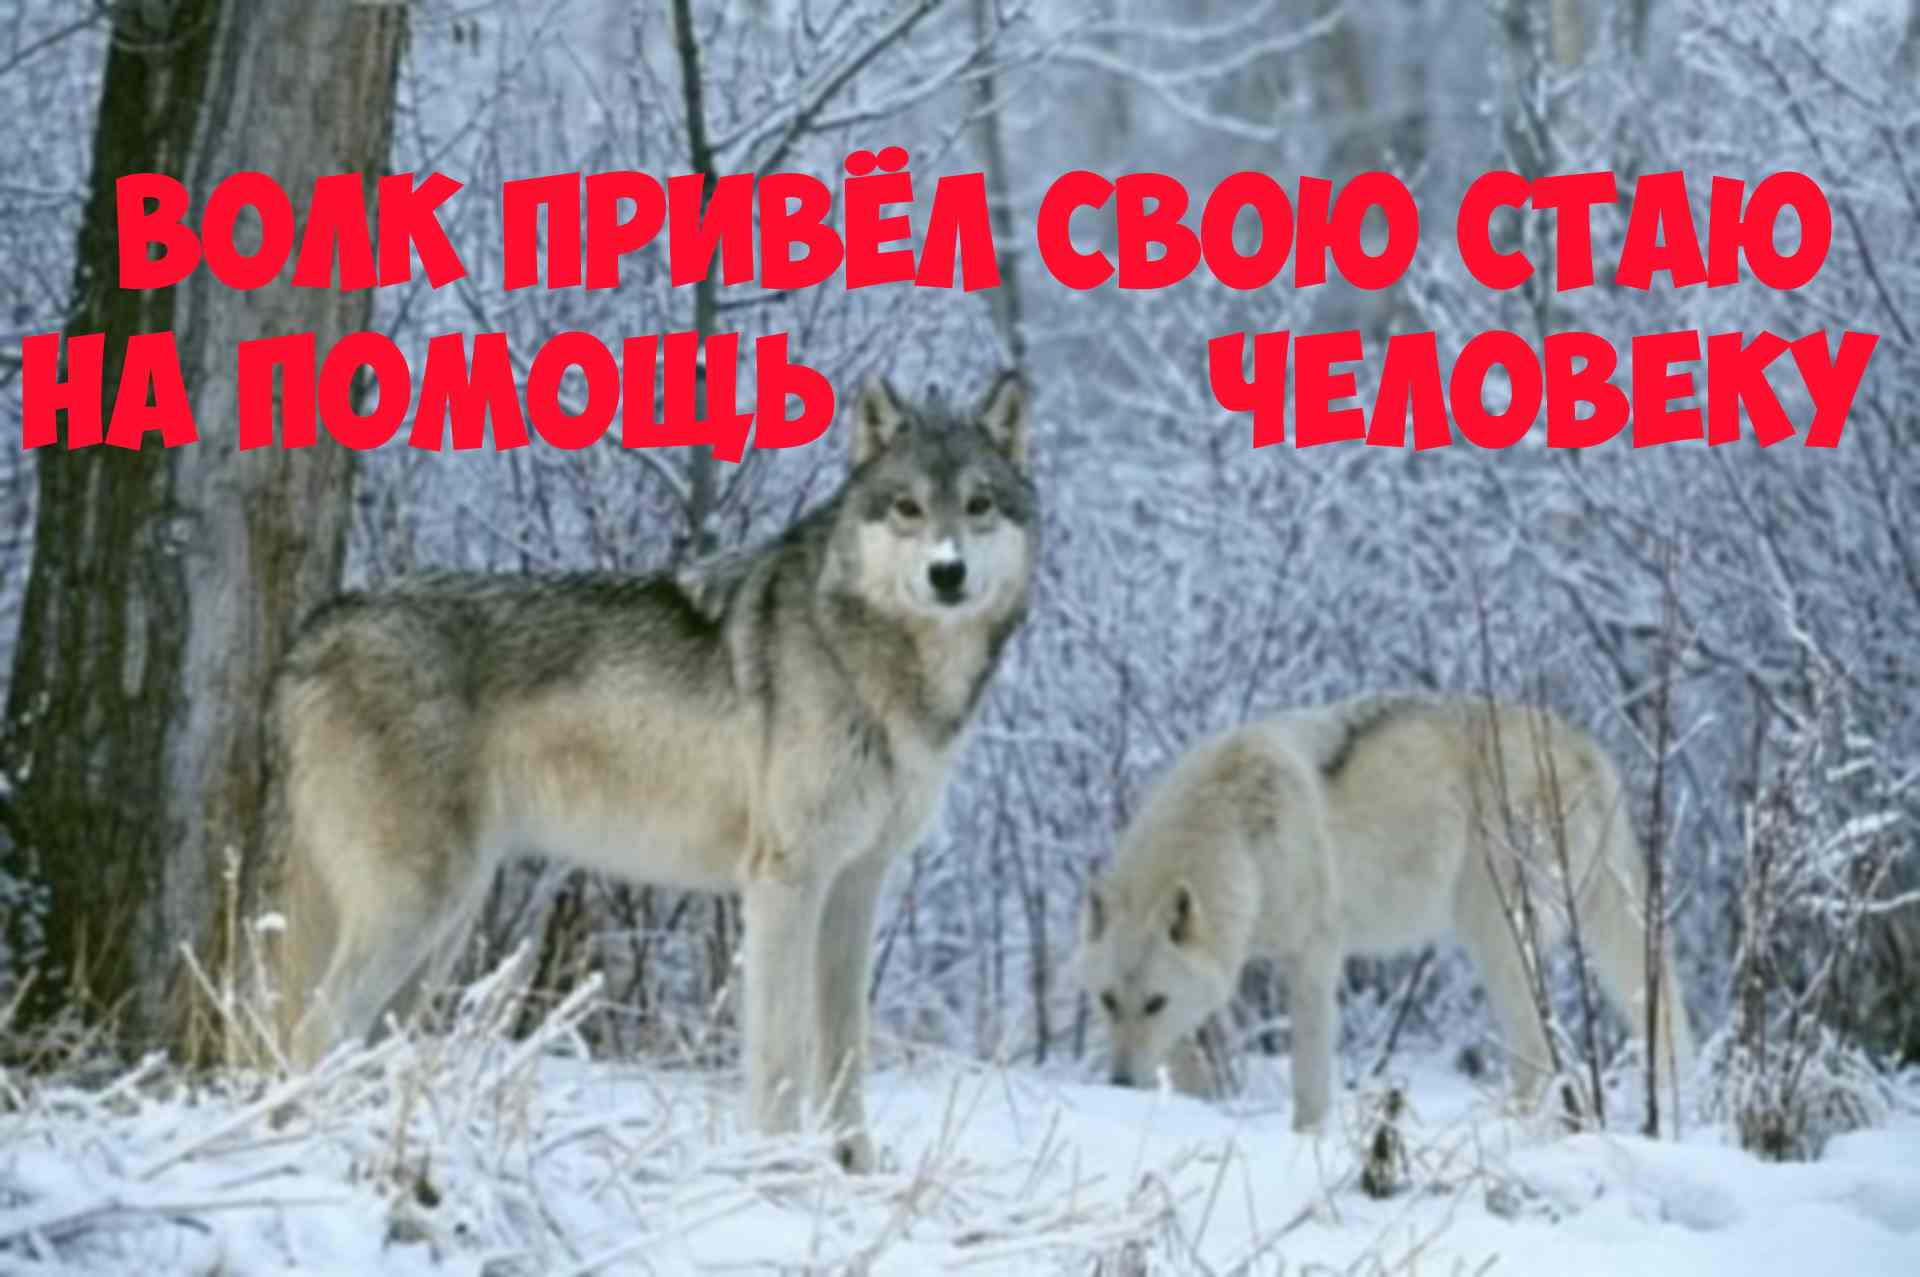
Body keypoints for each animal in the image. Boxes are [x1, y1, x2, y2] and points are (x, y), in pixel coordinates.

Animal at [259, 375, 1036, 1170]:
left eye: (979, 504)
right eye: (908, 506)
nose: (947, 572)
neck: (881, 664)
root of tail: (313, 633)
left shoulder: (857, 882)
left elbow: (846, 1051)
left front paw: (854, 1168)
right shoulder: (785, 882)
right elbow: (782, 1054)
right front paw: (775, 1169)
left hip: (442, 929)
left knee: (361, 1043)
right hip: (419, 908)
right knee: (314, 1031)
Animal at [1075, 694, 1695, 1131]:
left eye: (1154, 1003)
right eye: (1107, 1001)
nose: (1119, 1083)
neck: (1240, 837)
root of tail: (1586, 749)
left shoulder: (1314, 955)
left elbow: (1309, 1079)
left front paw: (1308, 1141)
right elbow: (1192, 1065)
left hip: (1492, 935)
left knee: (1538, 1053)